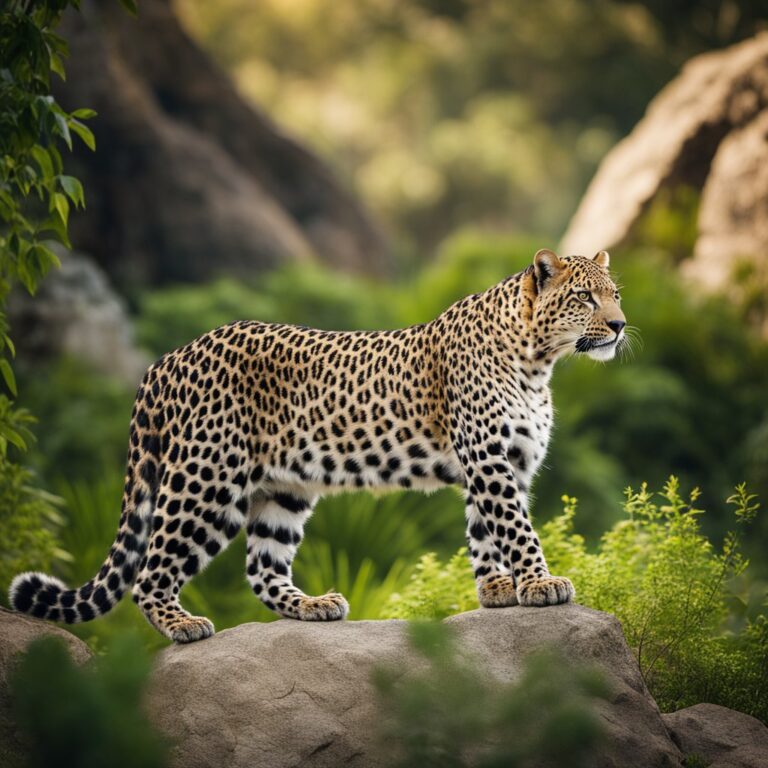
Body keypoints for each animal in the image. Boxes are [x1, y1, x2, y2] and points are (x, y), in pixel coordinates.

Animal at [10, 248, 627, 643]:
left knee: (262, 567)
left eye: (615, 295)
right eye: (583, 298)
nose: (620, 325)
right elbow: (516, 528)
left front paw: (498, 589)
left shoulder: (505, 463)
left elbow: (486, 530)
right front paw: (542, 583)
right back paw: (183, 625)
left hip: (283, 488)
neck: (538, 362)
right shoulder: (489, 458)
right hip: (208, 478)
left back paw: (313, 606)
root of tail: (165, 360)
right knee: (150, 569)